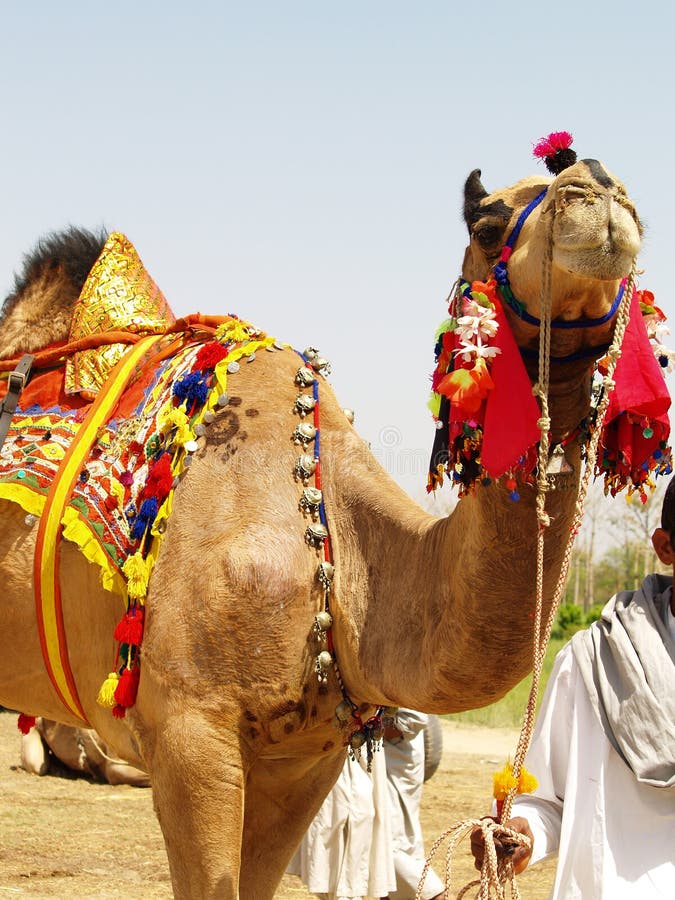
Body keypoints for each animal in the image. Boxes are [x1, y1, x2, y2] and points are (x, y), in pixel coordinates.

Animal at [0, 148, 653, 898]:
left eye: (630, 197)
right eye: (486, 225)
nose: (596, 190)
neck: (333, 553)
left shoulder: (306, 754)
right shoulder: (187, 732)